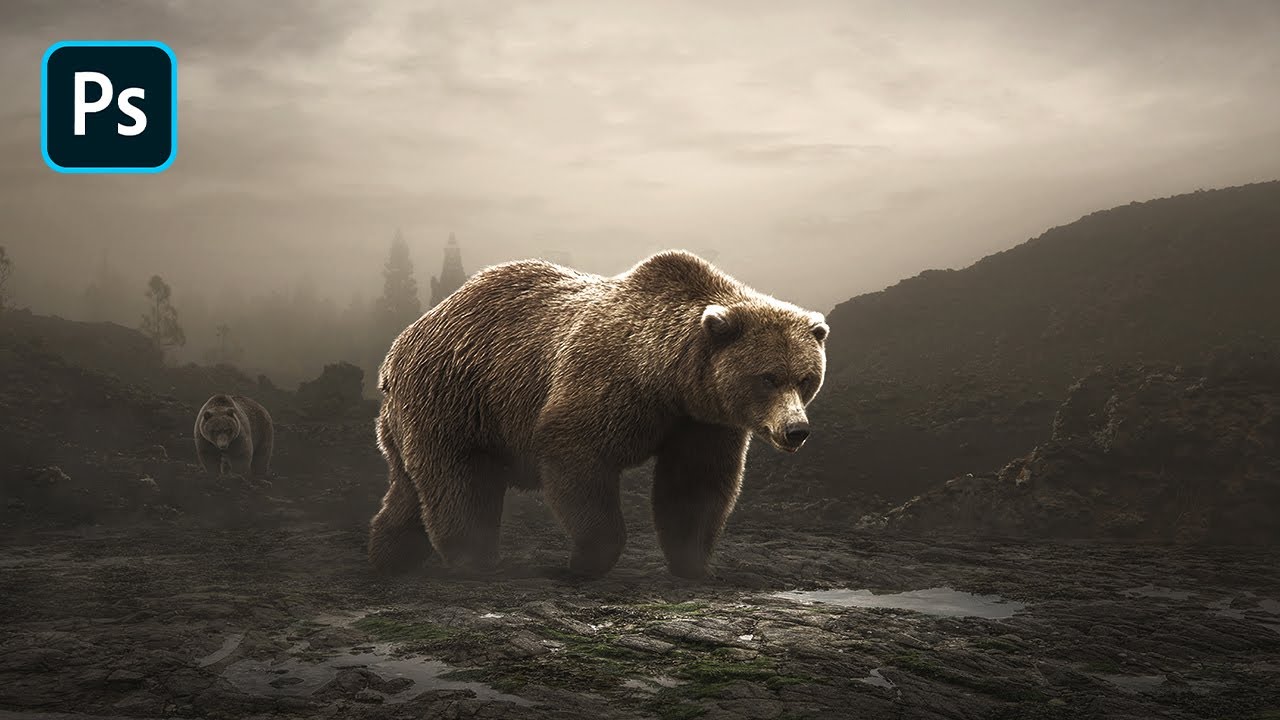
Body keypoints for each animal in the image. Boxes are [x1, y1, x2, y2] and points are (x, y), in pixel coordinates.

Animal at [367, 250, 829, 579]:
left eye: (806, 378)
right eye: (768, 377)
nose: (796, 430)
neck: (669, 377)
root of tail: (397, 349)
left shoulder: (701, 422)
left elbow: (695, 485)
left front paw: (693, 563)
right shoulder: (607, 385)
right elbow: (576, 457)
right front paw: (587, 560)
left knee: (408, 490)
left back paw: (387, 556)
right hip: (457, 398)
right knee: (459, 480)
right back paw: (472, 559)